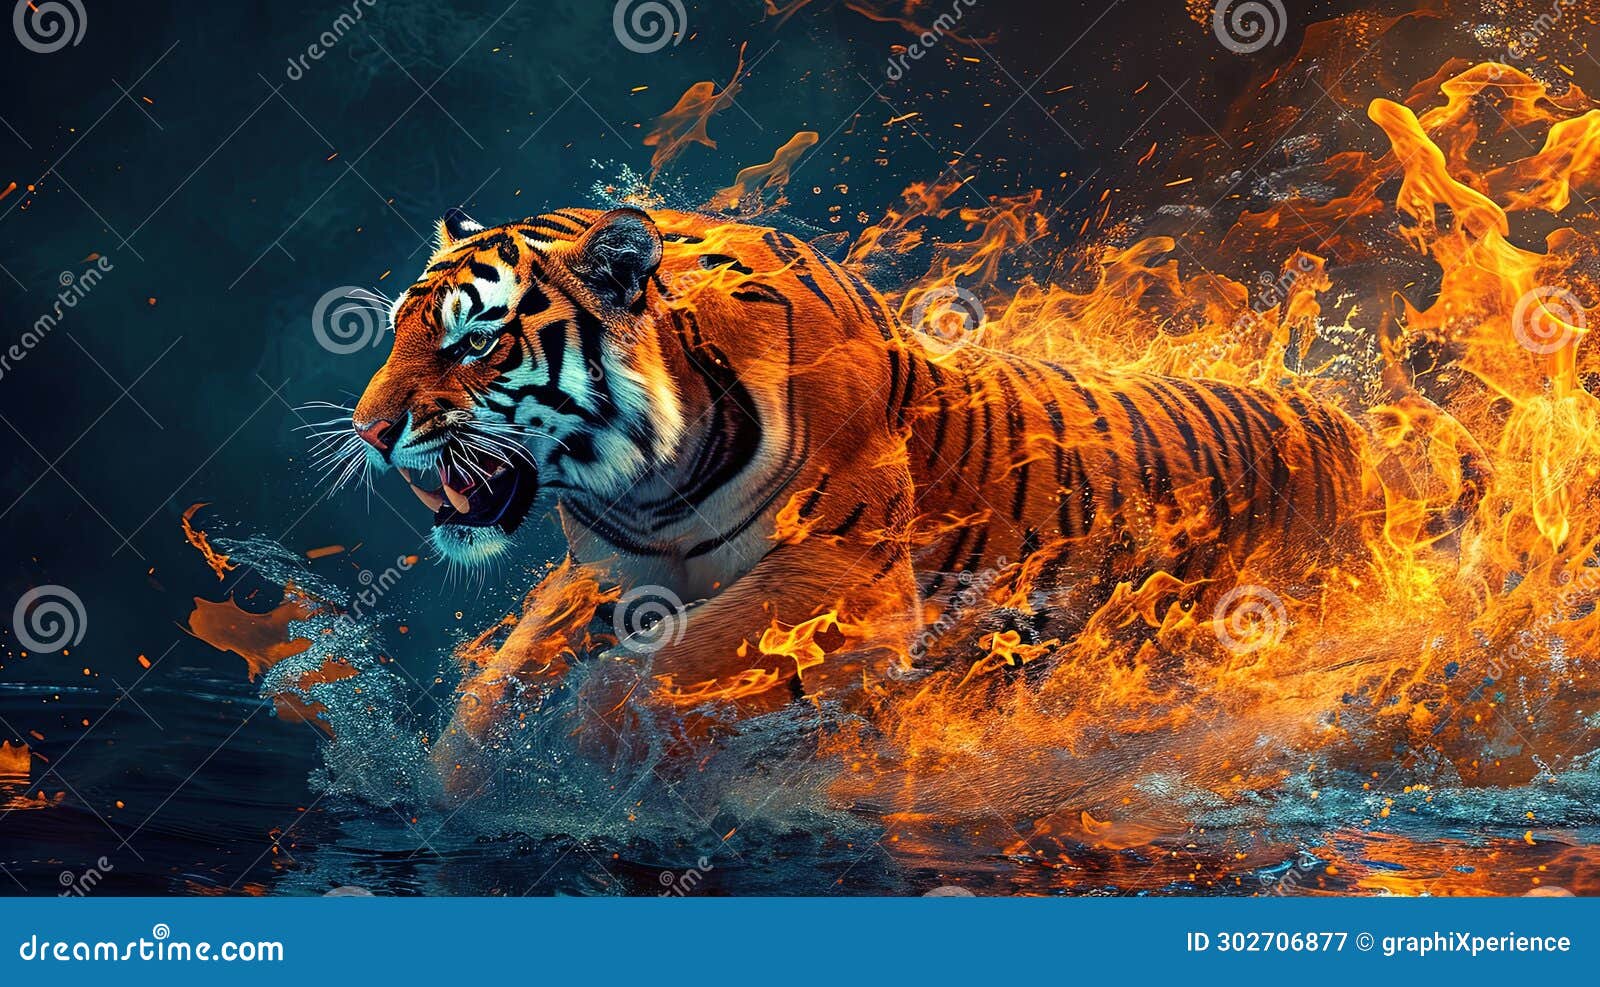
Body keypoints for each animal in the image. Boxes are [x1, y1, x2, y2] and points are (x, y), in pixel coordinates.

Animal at [346, 205, 1485, 729]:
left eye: (474, 340)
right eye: (397, 327)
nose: (366, 431)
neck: (645, 491)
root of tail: (1349, 434)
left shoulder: (842, 576)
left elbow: (648, 678)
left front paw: (582, 764)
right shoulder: (613, 574)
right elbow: (502, 679)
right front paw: (459, 777)